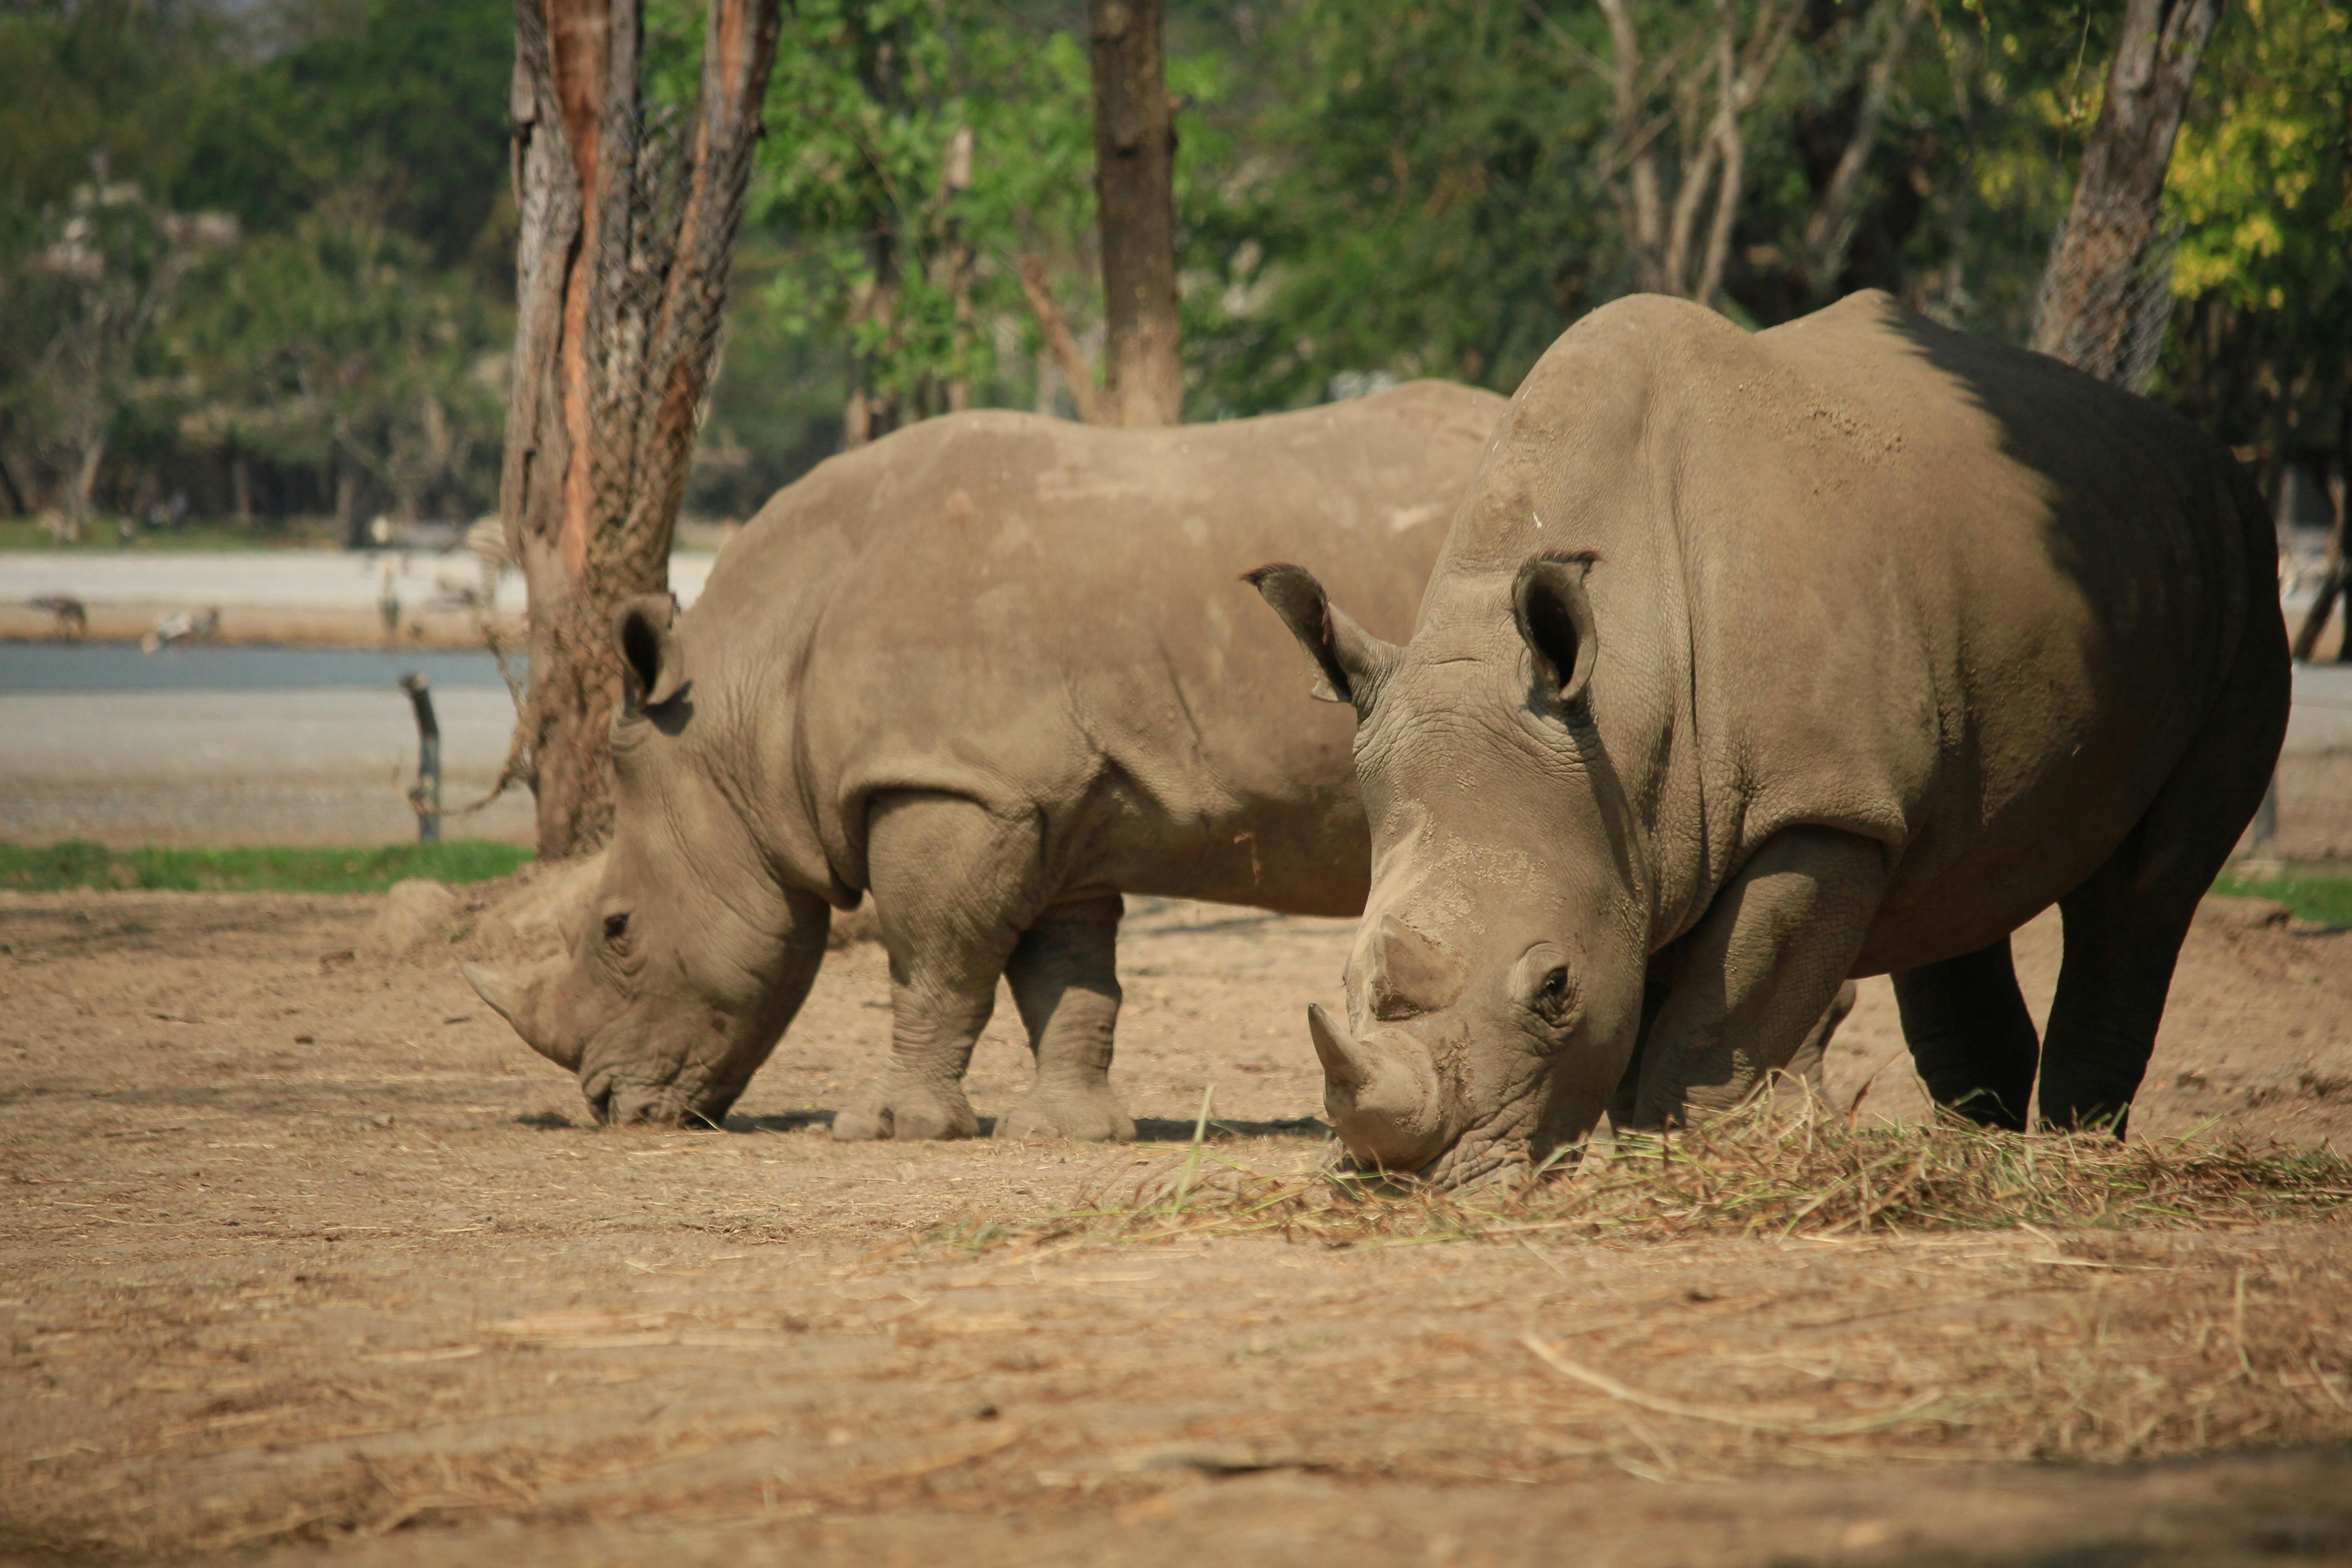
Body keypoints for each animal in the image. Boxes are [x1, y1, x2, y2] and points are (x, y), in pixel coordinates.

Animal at [465, 382, 1506, 1135]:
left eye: (617, 931)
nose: (609, 1107)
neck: (742, 711)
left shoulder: (954, 785)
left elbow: (933, 960)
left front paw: (889, 1129)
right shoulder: (1057, 804)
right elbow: (1067, 977)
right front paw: (1066, 1134)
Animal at [1252, 292, 2289, 1187]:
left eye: (1555, 988)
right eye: (1344, 978)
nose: (1406, 1185)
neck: (1621, 707)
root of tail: (2207, 453)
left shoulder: (1816, 810)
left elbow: (1714, 1027)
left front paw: (1672, 1161)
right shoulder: (1636, 829)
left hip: (2241, 569)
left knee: (2144, 892)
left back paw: (2078, 1158)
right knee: (1957, 881)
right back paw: (1978, 1155)